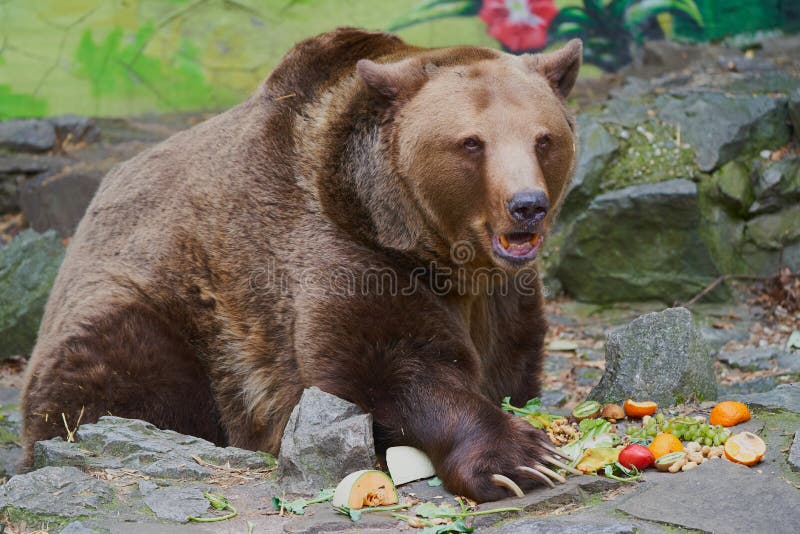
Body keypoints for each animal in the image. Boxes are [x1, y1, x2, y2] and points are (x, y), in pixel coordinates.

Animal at [21, 28, 582, 502]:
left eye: (543, 138)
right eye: (471, 142)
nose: (526, 204)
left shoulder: (505, 295)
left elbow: (511, 363)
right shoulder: (342, 249)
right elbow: (381, 363)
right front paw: (521, 458)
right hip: (157, 305)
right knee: (113, 381)